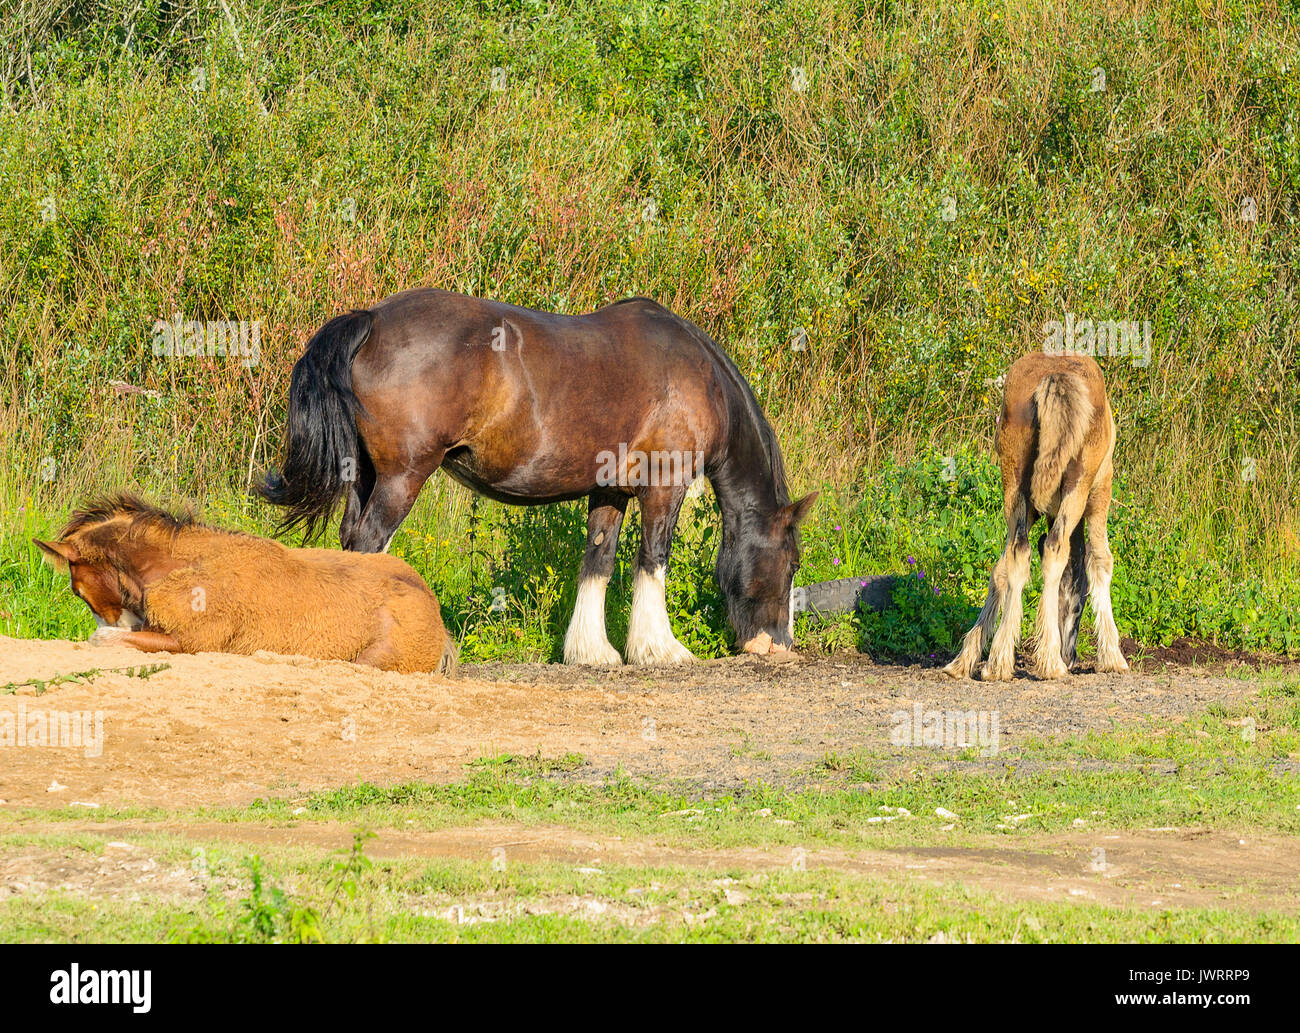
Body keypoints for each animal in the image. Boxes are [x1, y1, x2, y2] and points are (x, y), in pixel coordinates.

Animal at [33, 494, 457, 675]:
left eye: (77, 589)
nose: (129, 620)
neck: (181, 565)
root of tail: (436, 617)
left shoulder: (192, 642)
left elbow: (102, 640)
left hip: (376, 659)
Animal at [257, 289, 816, 664]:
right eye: (791, 562)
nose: (779, 644)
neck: (698, 379)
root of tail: (371, 319)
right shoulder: (664, 484)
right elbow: (652, 560)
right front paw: (659, 649)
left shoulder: (610, 490)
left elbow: (598, 561)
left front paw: (592, 651)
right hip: (402, 478)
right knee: (370, 544)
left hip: (365, 477)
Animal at [943, 353, 1128, 681]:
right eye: (1079, 605)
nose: (1071, 655)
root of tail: (1056, 375)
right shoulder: (1100, 493)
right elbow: (1100, 561)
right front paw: (1112, 655)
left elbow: (1000, 570)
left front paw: (968, 657)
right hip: (1079, 485)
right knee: (1055, 548)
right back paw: (1050, 662)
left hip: (1014, 485)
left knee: (1018, 552)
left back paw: (998, 662)